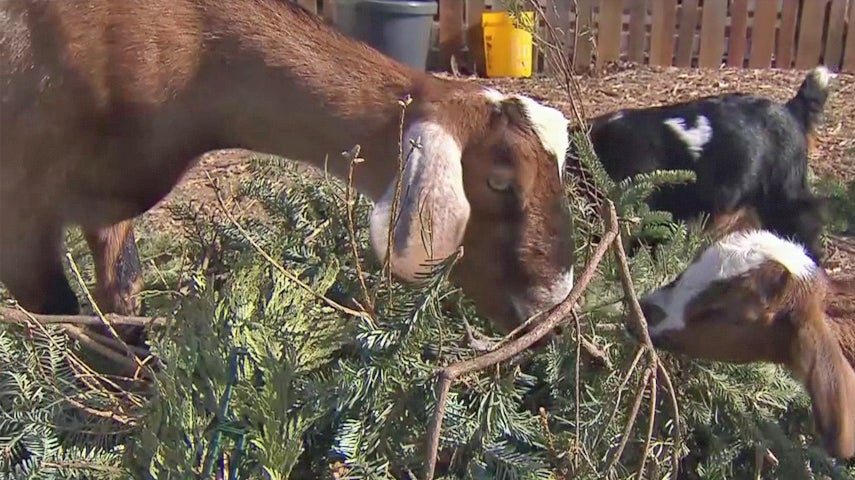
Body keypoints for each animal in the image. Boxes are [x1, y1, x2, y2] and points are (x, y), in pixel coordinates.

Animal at [0, 0, 575, 335]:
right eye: (500, 180)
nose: (553, 302)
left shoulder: (110, 205)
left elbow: (122, 301)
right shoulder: (21, 213)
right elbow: (67, 320)